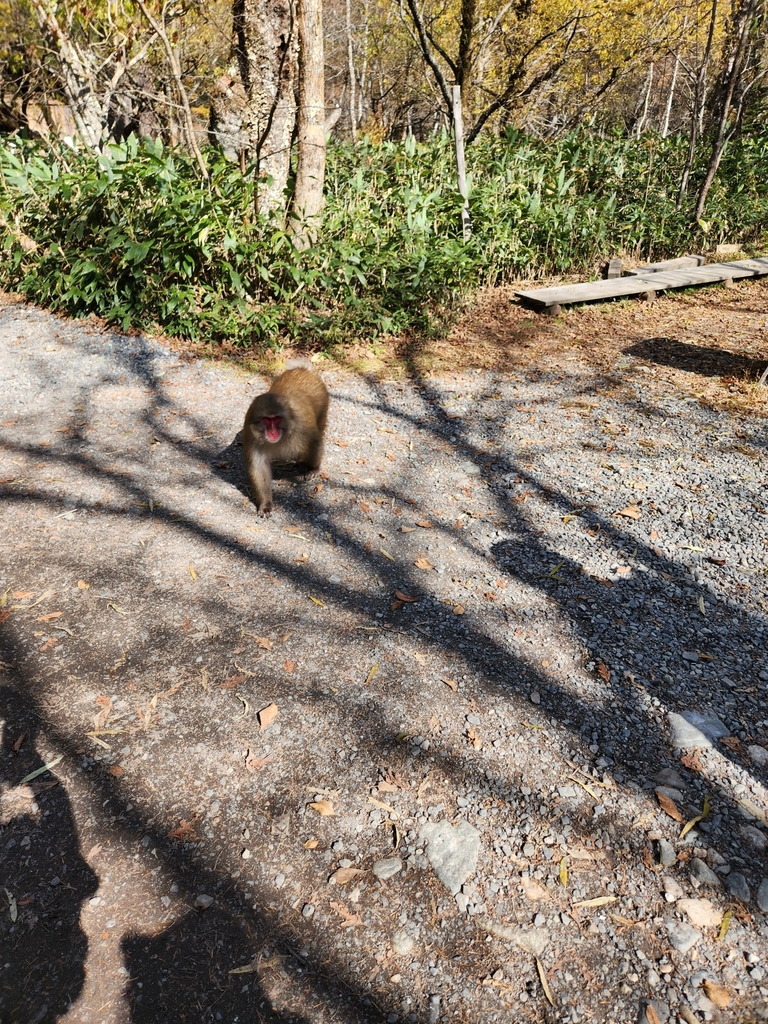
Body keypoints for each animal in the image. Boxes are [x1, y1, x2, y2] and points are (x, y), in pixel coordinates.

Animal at [242, 358, 329, 515]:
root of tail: (302, 370)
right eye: (267, 420)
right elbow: (259, 467)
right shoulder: (250, 434)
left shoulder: (303, 427)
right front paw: (265, 504)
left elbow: (315, 443)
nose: (272, 431)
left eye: (276, 419)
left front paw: (313, 469)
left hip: (323, 402)